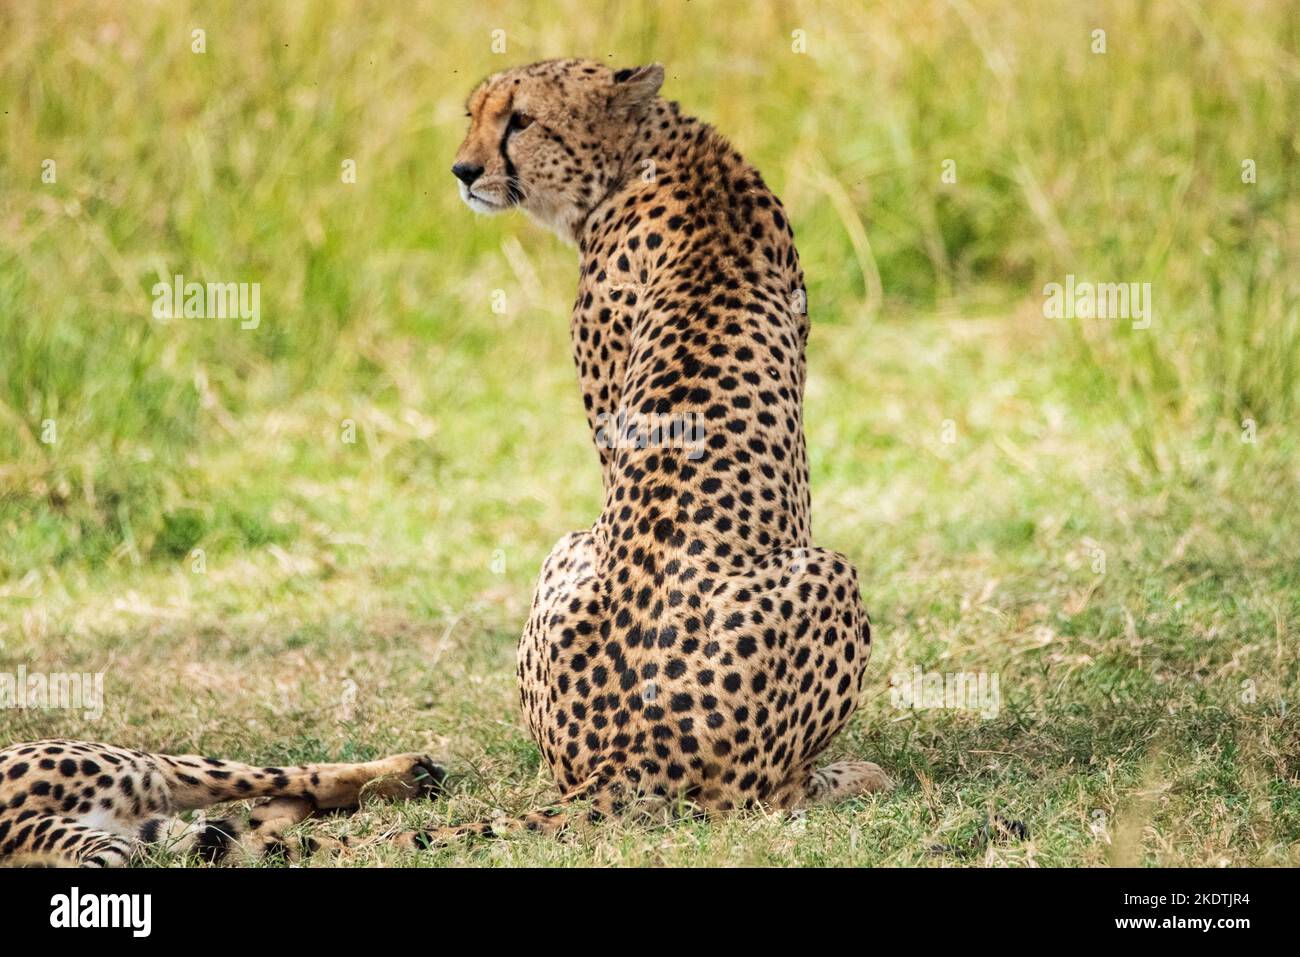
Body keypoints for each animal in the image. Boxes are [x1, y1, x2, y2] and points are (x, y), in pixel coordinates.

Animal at [405, 57, 890, 845]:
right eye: (475, 113)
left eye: (521, 120)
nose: (463, 170)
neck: (654, 155)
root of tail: (630, 749)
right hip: (808, 571)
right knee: (757, 798)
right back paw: (853, 775)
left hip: (587, 551)